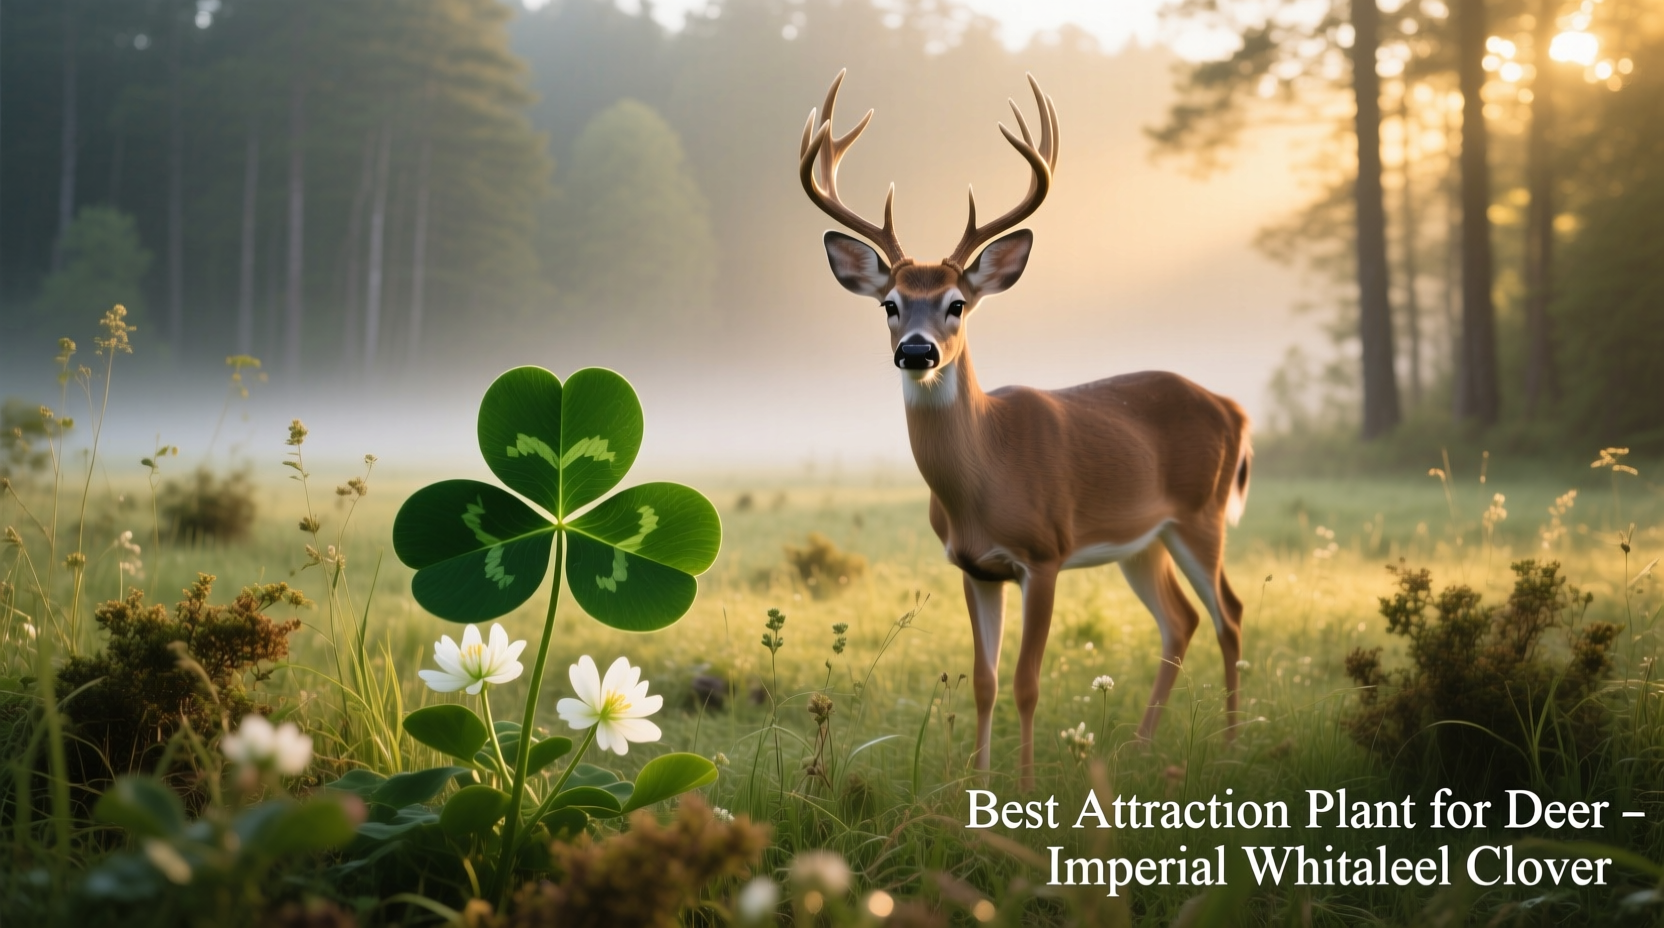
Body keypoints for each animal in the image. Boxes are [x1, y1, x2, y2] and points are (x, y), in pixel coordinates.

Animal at [799, 71, 1252, 789]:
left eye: (957, 303)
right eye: (890, 304)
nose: (918, 352)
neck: (985, 477)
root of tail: (1234, 407)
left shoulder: (1045, 554)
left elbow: (1026, 681)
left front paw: (1027, 785)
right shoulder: (973, 565)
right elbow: (983, 680)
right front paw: (978, 784)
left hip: (1200, 515)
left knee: (1228, 614)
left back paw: (1232, 745)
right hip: (1143, 539)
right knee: (1179, 622)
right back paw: (1140, 747)